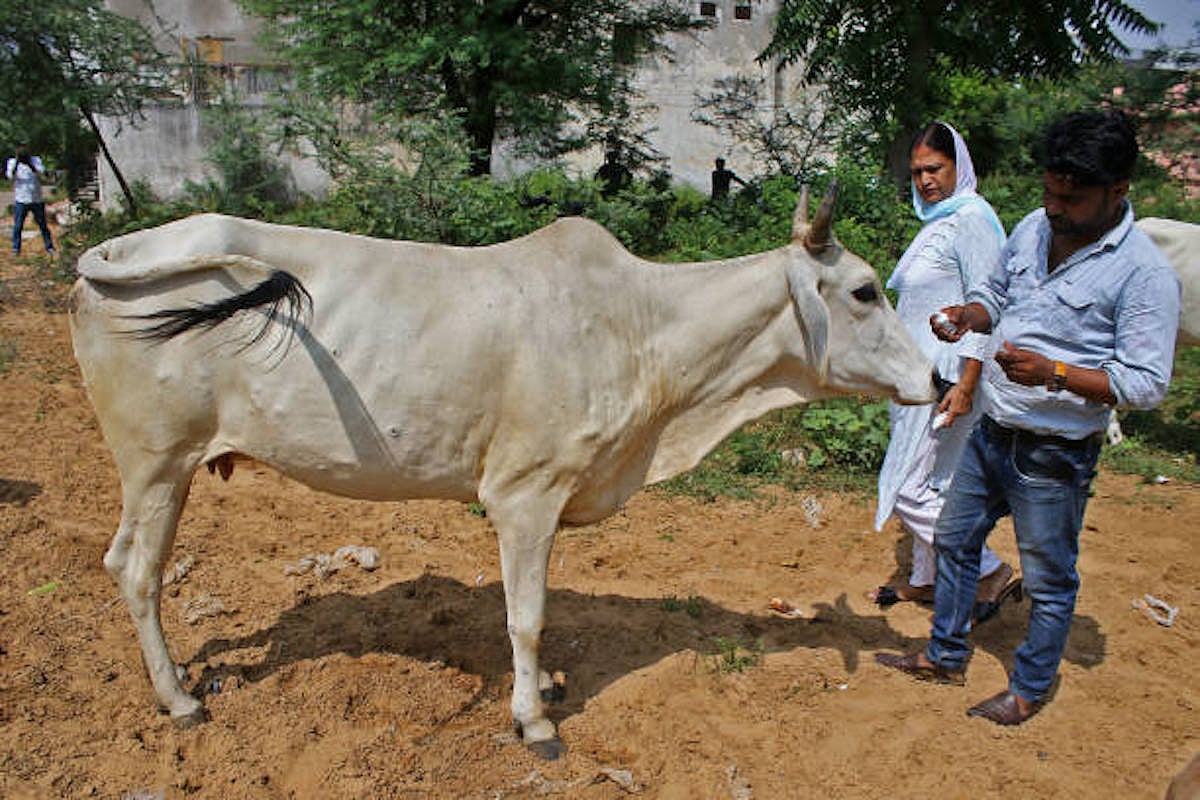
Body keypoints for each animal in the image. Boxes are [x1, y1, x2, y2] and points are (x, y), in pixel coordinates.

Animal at [68, 188, 937, 758]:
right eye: (864, 290)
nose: (935, 376)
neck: (643, 331)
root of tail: (114, 255)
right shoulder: (524, 494)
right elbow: (527, 616)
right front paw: (535, 721)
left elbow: (530, 614)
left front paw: (544, 687)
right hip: (154, 461)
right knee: (135, 568)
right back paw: (178, 699)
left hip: (174, 468)